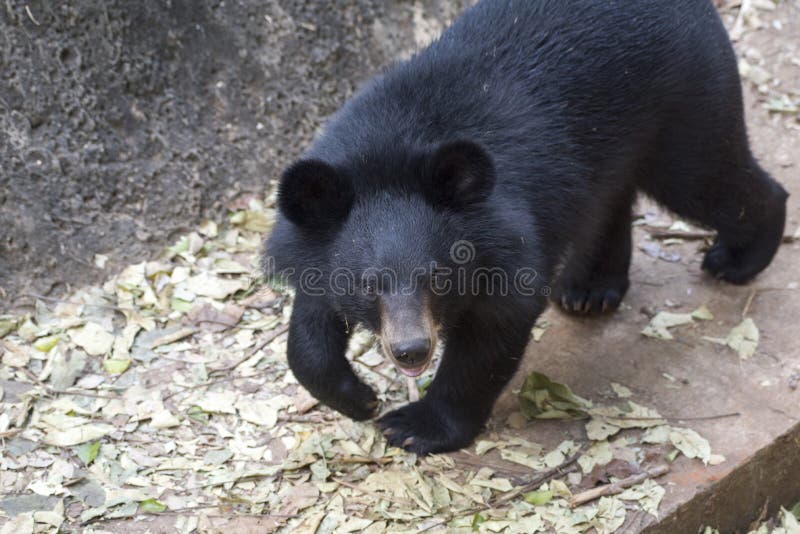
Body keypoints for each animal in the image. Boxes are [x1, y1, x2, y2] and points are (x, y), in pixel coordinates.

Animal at [264, 0, 788, 454]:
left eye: (437, 277)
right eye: (369, 284)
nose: (411, 350)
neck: (384, 153)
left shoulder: (507, 238)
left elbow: (491, 334)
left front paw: (413, 426)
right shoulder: (312, 239)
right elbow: (311, 322)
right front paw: (359, 397)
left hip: (687, 99)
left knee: (708, 177)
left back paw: (737, 259)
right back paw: (587, 290)